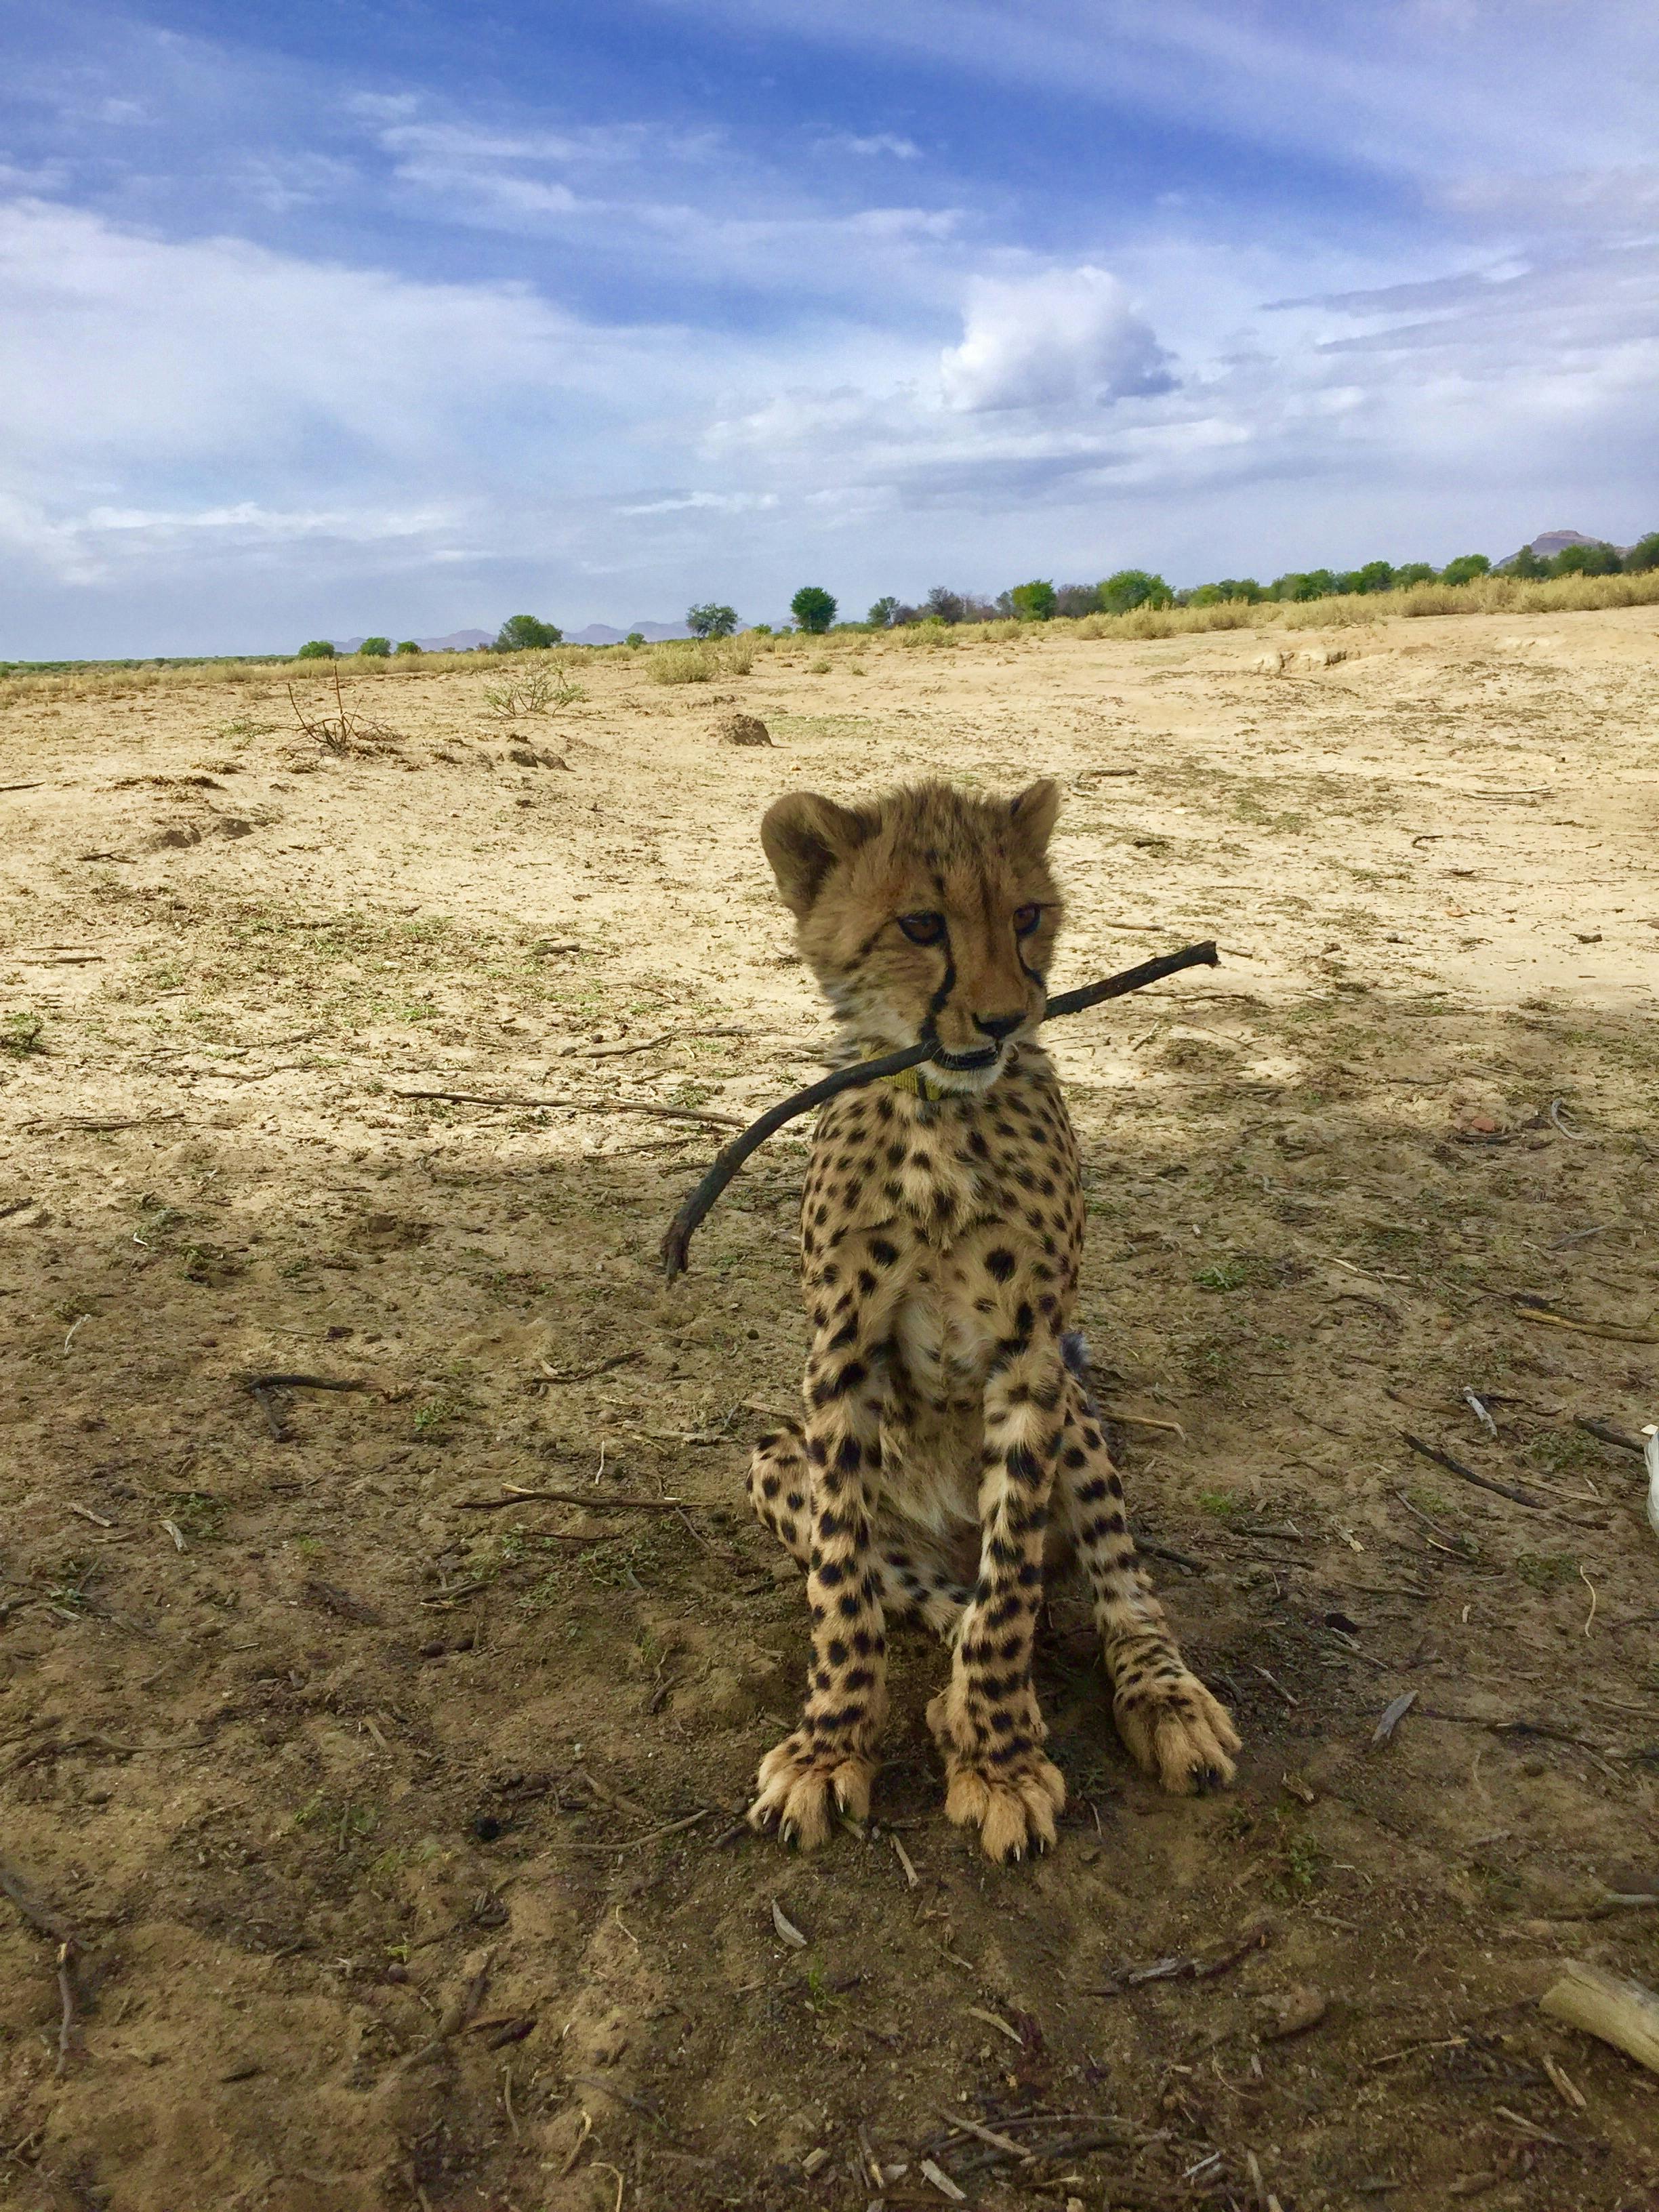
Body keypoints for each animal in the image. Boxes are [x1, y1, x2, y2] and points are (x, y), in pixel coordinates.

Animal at [743, 774, 1240, 1863]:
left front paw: (1001, 1760)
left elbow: (1012, 1583)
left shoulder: (1030, 1352)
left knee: (1112, 1590)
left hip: (1079, 1413)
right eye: (922, 925)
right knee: (930, 1594)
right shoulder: (838, 1359)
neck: (941, 1111)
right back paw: (946, 1684)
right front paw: (832, 1746)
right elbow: (845, 1585)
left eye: (1026, 917)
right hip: (772, 1458)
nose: (1009, 1019)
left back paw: (1162, 1698)